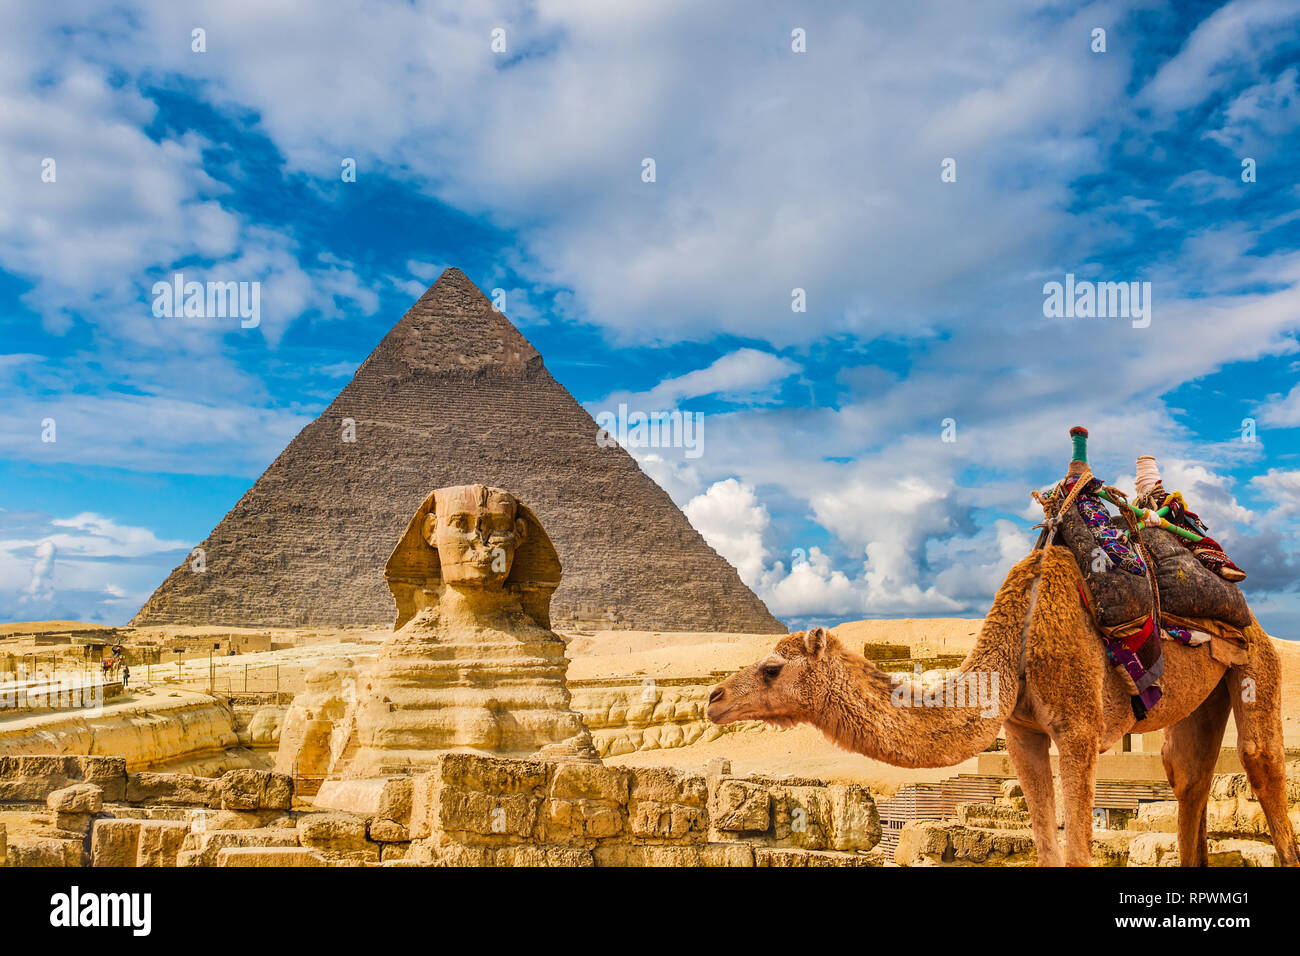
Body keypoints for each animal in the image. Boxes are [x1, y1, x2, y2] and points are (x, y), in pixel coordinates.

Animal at [707, 546, 1299, 867]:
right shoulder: (1020, 732)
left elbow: (1079, 850)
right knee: (1188, 774)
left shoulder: (1078, 730)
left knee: (1260, 762)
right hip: (1199, 697)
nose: (714, 699)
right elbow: (1046, 848)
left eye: (772, 668)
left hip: (1254, 658)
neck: (1015, 645)